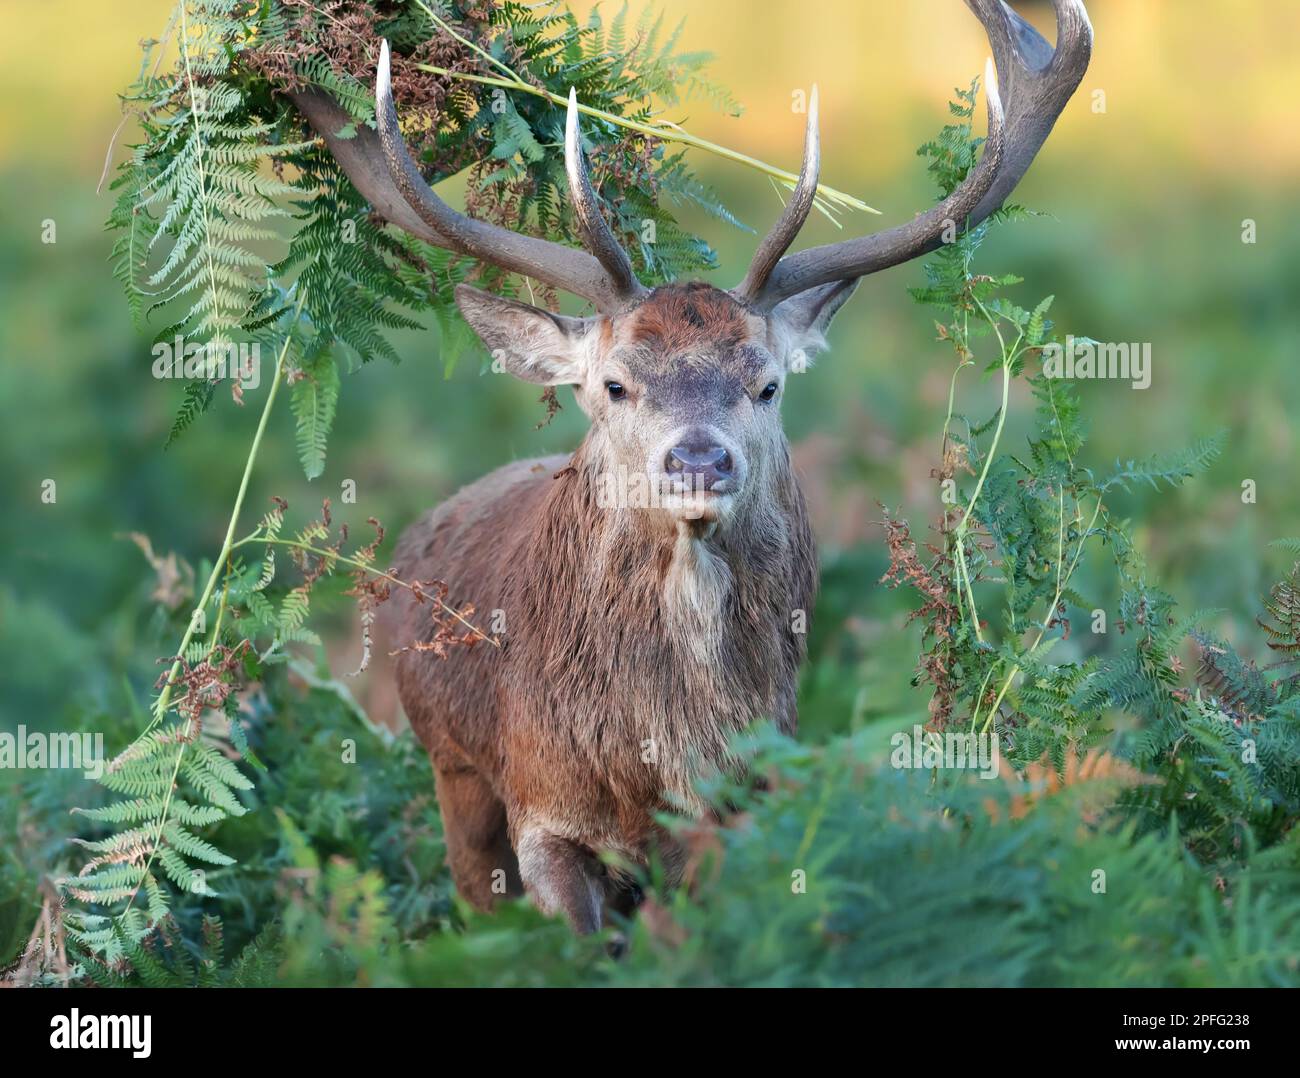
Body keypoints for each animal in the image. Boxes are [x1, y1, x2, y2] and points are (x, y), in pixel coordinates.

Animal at [285, 0, 1092, 934]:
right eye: (614, 384)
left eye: (768, 384)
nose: (698, 459)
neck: (663, 762)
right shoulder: (541, 803)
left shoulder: (748, 797)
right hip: (451, 766)